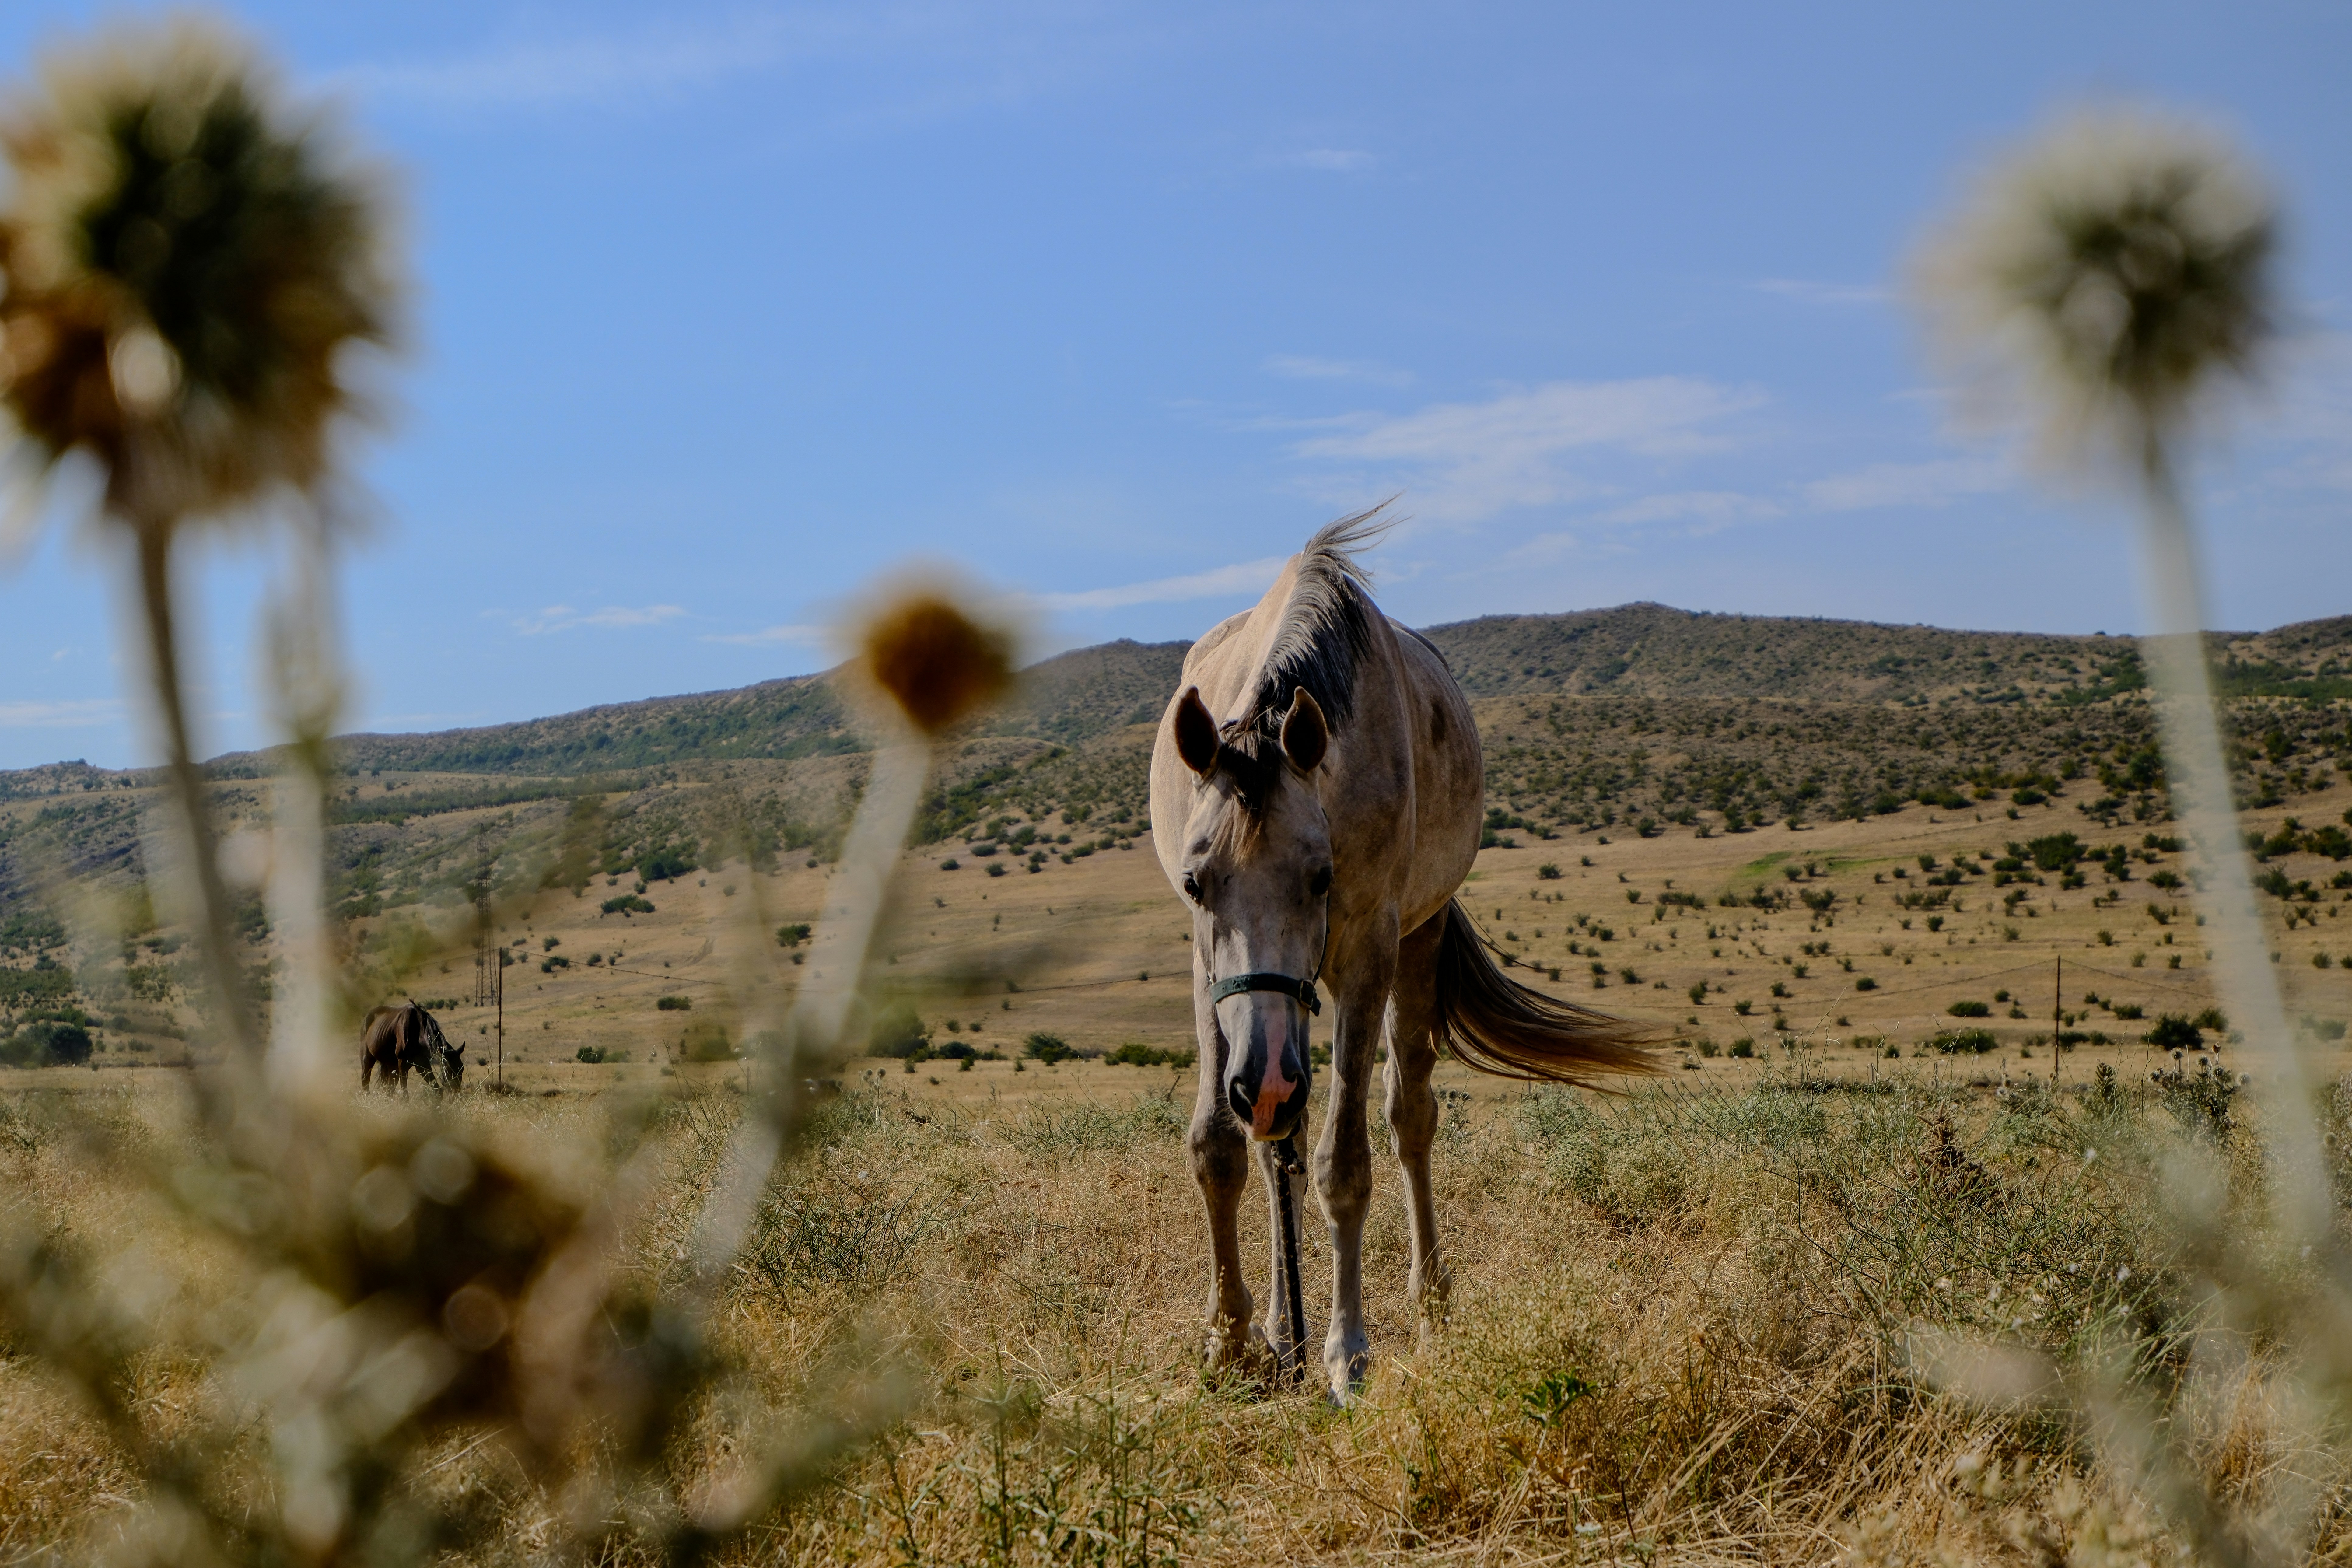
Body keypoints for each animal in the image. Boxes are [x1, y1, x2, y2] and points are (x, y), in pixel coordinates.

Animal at [360, 1001, 465, 1095]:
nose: (456, 1091)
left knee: (388, 1090)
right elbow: (405, 1095)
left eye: (462, 1069)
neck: (417, 1032)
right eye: (447, 1070)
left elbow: (438, 1090)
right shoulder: (402, 1064)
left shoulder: (423, 1065)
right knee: (366, 1084)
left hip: (389, 1065)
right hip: (368, 1060)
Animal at [1149, 509, 1656, 1401]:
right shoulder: (1216, 980)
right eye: (1196, 882)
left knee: (1407, 1119)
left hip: (1410, 950)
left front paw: (1346, 1352)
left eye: (1321, 877)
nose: (1262, 1080)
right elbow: (1219, 1147)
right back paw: (1282, 1326)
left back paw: (1429, 1308)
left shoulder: (1366, 953)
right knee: (1278, 1140)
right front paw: (1231, 1341)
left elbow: (1345, 1165)